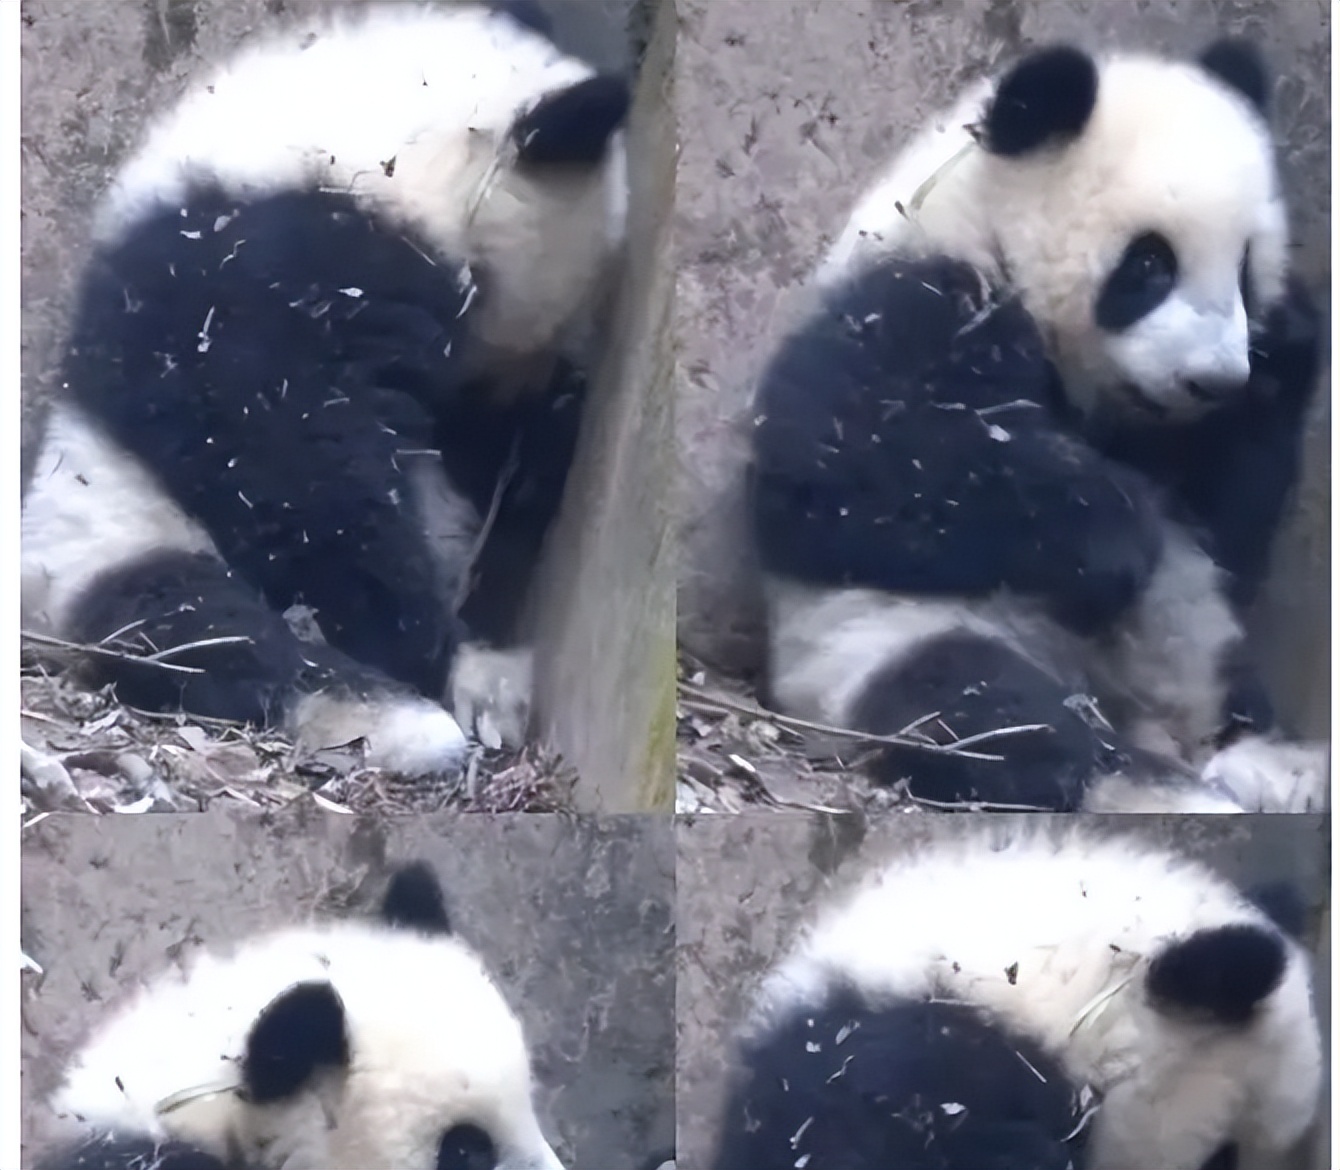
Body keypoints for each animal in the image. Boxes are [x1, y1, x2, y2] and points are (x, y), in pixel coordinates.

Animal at [20, 1, 631, 779]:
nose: (521, 390)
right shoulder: (251, 280)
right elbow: (290, 460)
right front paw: (409, 632)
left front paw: (548, 429)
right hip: (106, 538)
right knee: (200, 629)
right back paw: (405, 718)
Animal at [749, 39, 1328, 812]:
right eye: (1150, 264)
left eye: (1244, 268)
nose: (1215, 378)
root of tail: (1144, 721)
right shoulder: (919, 299)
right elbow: (835, 472)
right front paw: (1118, 532)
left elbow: (1231, 534)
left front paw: (1288, 343)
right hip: (879, 643)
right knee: (985, 710)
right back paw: (1149, 784)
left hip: (1197, 645)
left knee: (1228, 686)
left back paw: (1274, 768)